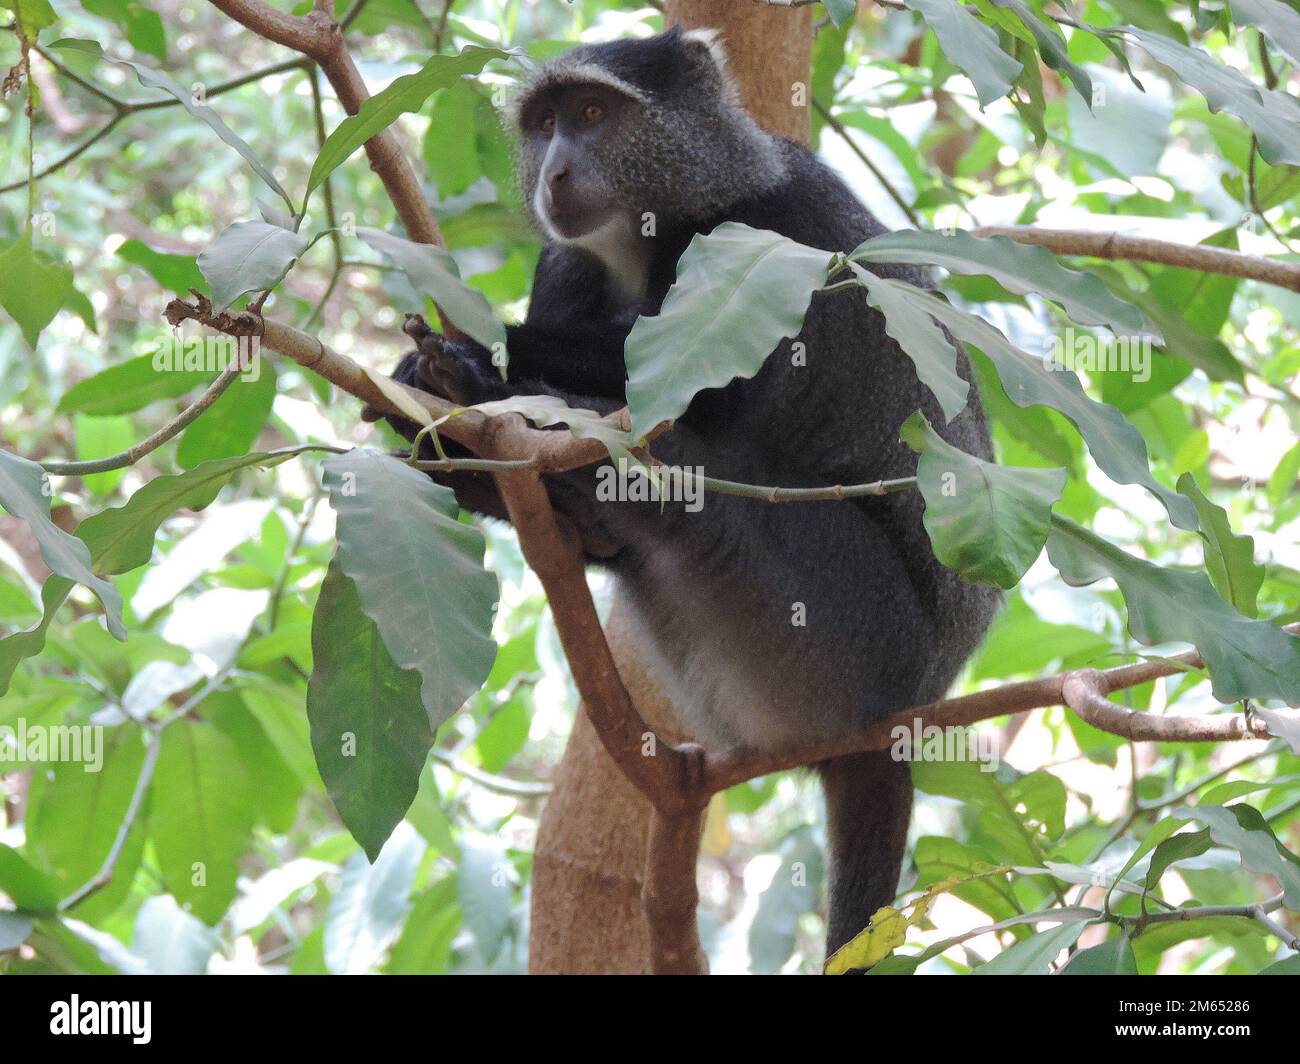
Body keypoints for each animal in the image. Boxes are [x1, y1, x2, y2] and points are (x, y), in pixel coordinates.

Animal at [376, 26, 1001, 961]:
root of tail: (909, 705)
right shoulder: (563, 261)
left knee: (694, 456)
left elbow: (697, 394)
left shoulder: (770, 232)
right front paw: (441, 391)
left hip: (850, 633)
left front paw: (480, 362)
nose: (556, 171)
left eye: (593, 112)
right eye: (545, 123)